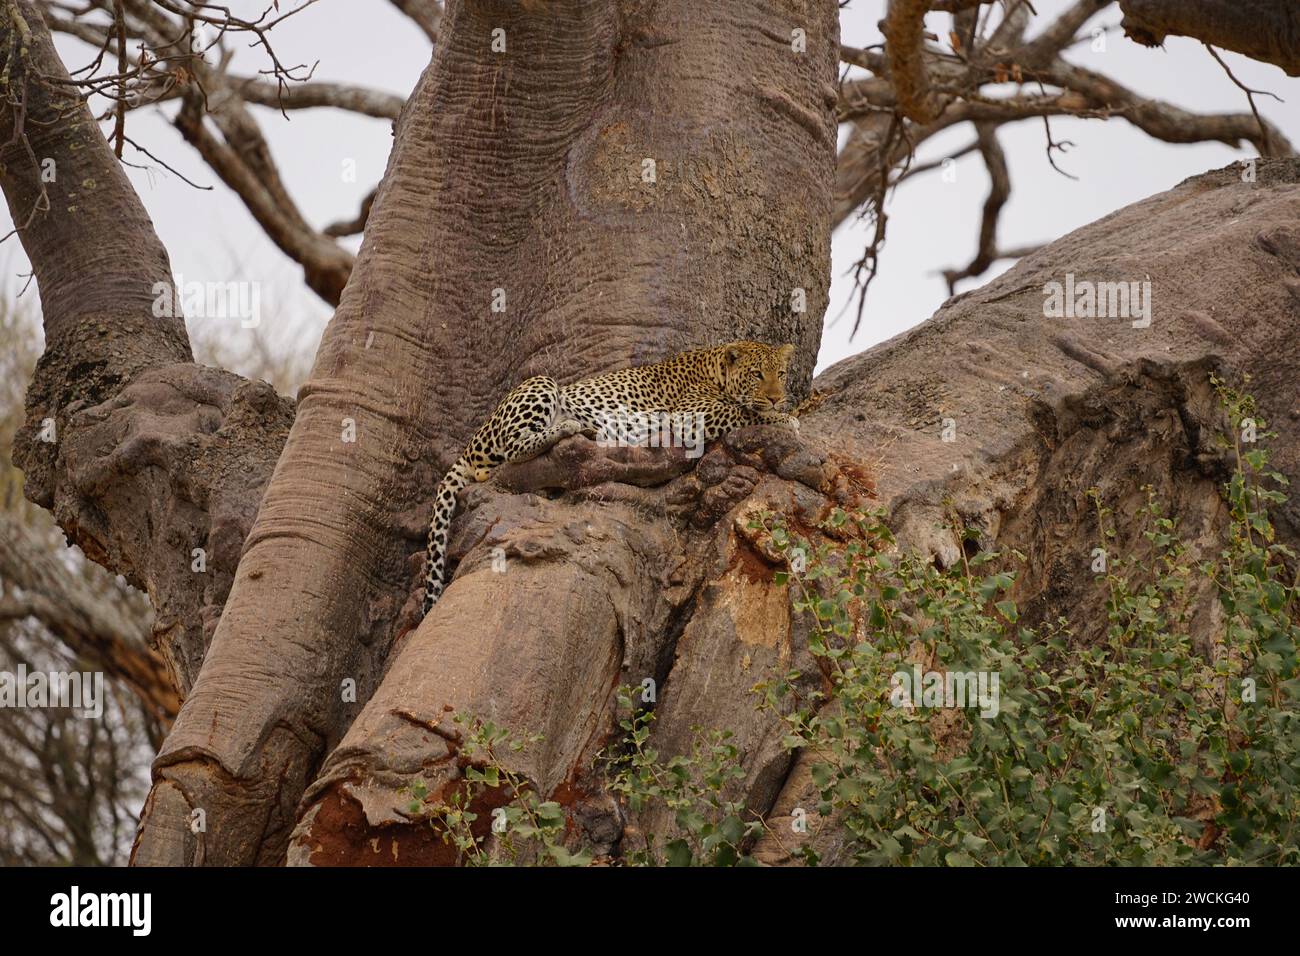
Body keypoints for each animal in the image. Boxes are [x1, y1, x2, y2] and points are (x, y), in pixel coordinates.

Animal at [421, 341, 799, 615]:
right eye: (757, 374)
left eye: (781, 373)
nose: (777, 397)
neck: (715, 368)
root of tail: (472, 443)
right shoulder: (694, 415)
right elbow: (745, 412)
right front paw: (785, 418)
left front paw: (784, 412)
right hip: (539, 385)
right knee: (514, 448)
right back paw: (571, 426)